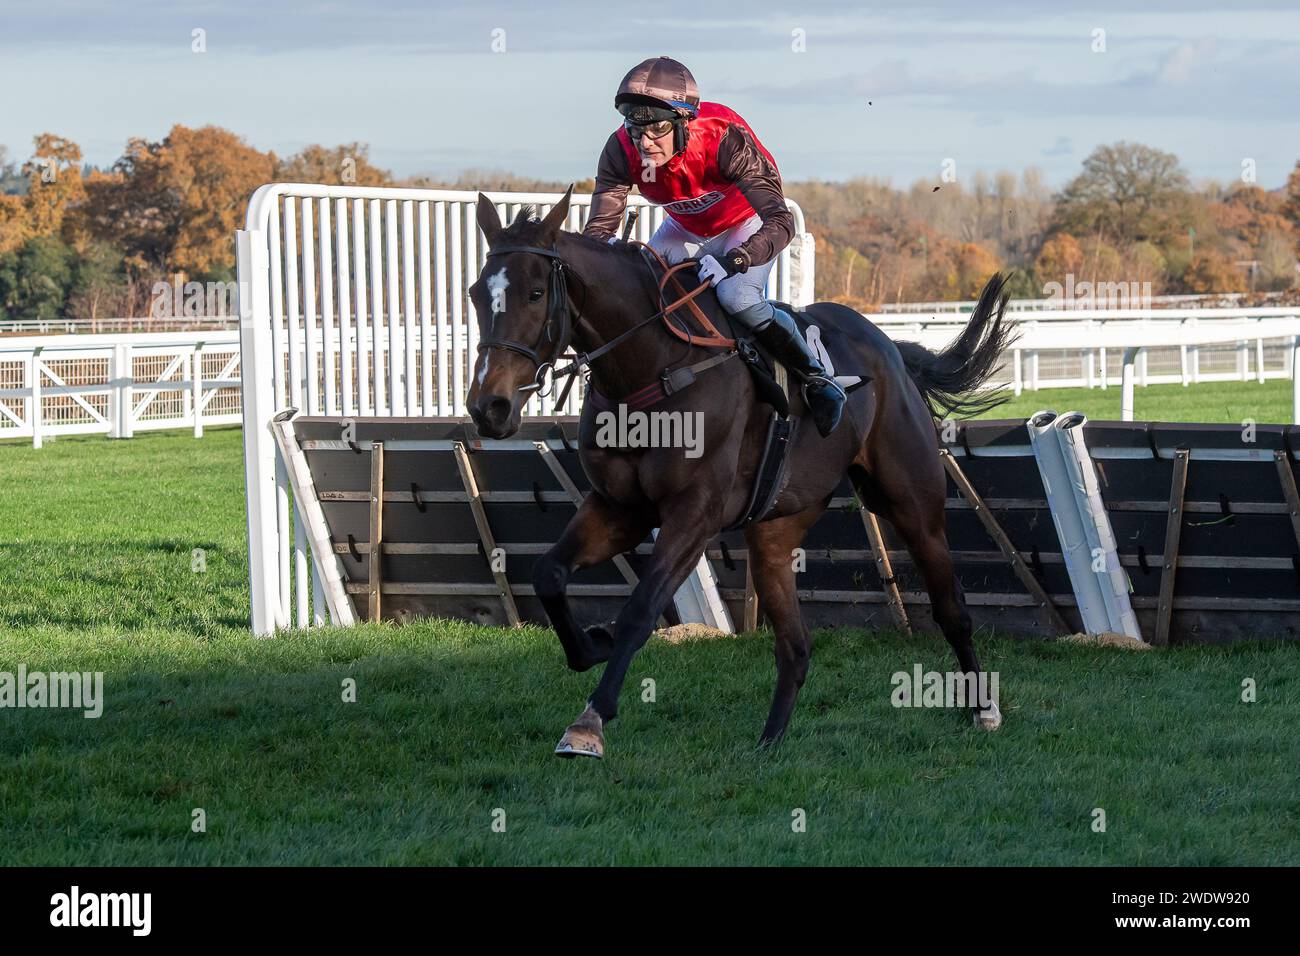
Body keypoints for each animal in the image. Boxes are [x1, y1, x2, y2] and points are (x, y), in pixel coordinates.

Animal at [466, 187, 1015, 759]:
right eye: (476, 294)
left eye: (534, 294)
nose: (490, 407)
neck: (652, 367)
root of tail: (890, 348)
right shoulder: (621, 508)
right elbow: (548, 573)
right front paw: (594, 642)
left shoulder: (695, 513)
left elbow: (641, 608)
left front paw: (590, 721)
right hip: (775, 529)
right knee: (795, 645)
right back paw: (768, 745)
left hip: (911, 501)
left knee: (952, 608)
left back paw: (984, 710)